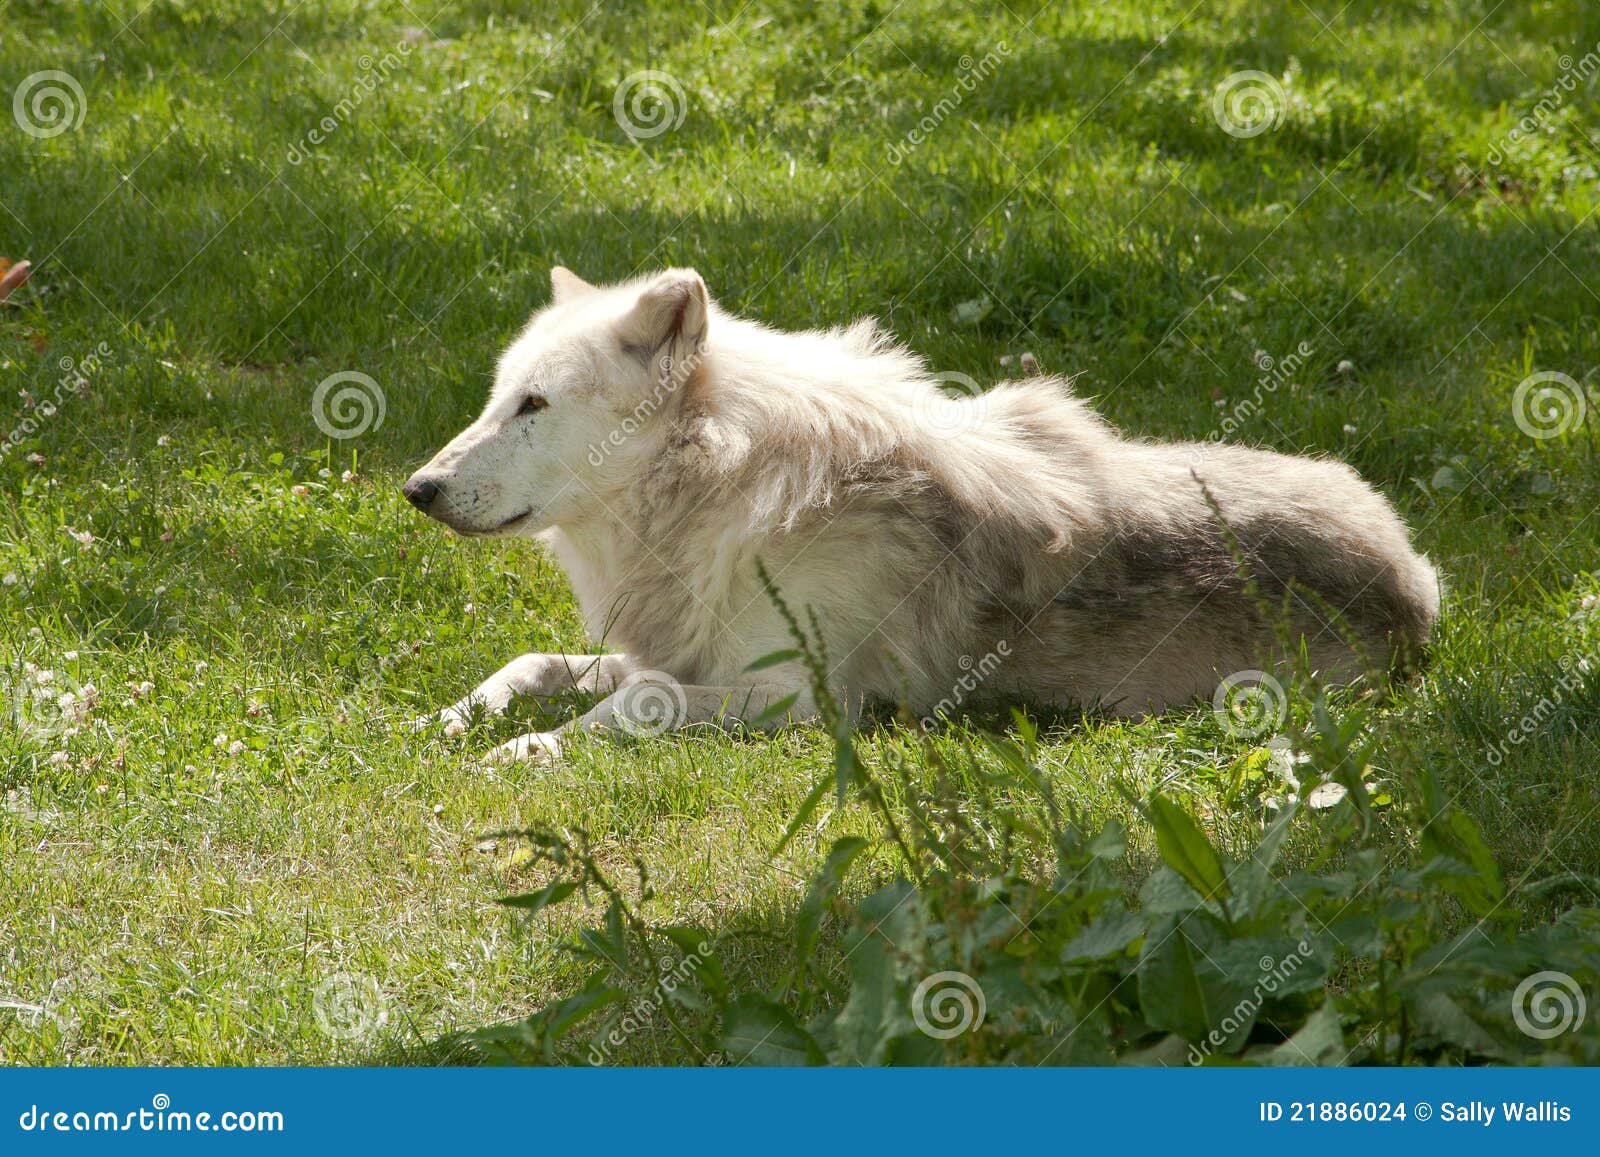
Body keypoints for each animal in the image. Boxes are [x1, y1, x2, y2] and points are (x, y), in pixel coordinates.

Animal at [403, 266, 1439, 762]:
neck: (722, 488)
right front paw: (448, 720)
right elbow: (531, 664)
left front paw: (525, 751)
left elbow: (626, 704)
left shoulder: (803, 700)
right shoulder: (689, 650)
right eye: (496, 397)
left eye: (533, 405)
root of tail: (1420, 581)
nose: (417, 489)